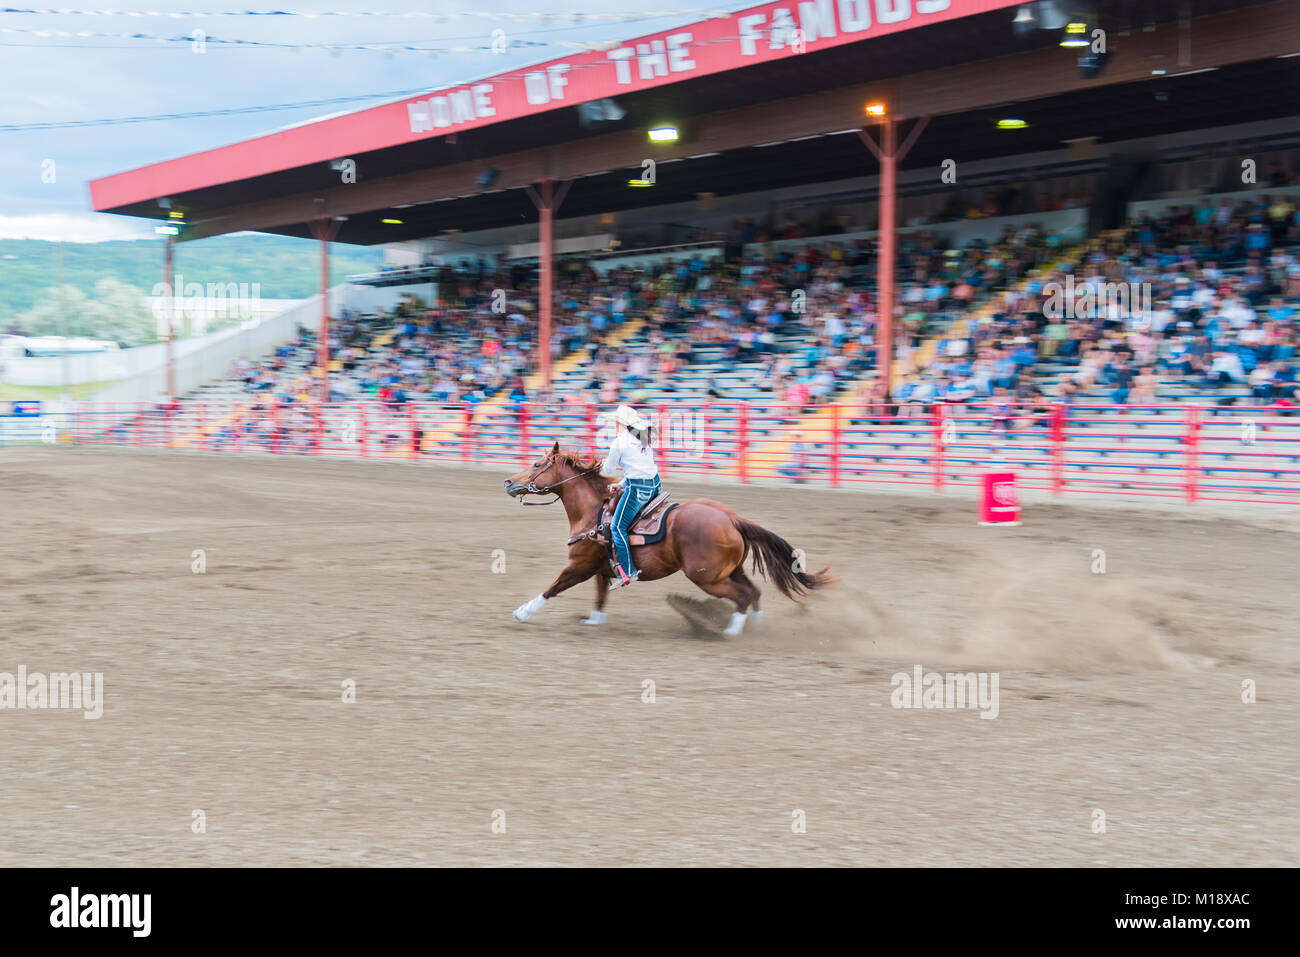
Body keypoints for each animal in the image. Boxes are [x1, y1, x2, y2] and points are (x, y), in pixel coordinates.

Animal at [503, 442, 832, 635]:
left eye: (536, 464)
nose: (508, 482)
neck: (593, 511)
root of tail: (732, 518)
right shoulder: (600, 568)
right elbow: (600, 596)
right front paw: (593, 620)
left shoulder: (579, 566)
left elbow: (553, 588)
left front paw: (521, 612)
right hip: (728, 571)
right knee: (753, 593)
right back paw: (754, 628)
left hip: (706, 577)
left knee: (743, 596)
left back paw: (730, 632)